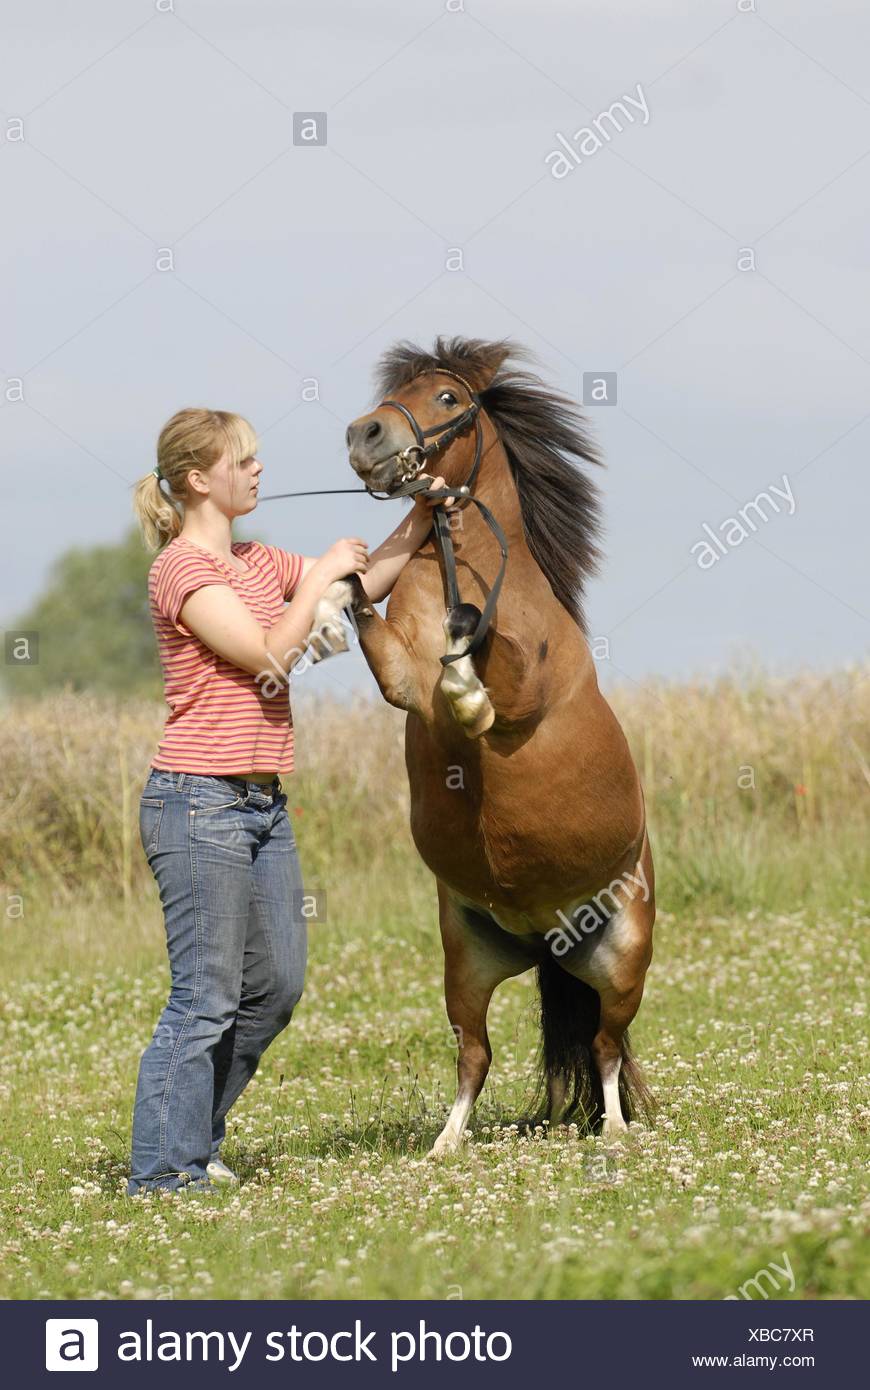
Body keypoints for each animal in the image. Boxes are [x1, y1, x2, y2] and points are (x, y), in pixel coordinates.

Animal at [317, 337, 655, 1154]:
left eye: (446, 398)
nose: (365, 437)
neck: (457, 563)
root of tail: (545, 939)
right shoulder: (403, 678)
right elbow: (371, 614)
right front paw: (331, 599)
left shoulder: (527, 683)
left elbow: (480, 641)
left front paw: (469, 688)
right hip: (467, 961)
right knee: (476, 1053)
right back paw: (447, 1144)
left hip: (622, 959)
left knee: (605, 1045)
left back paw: (615, 1131)